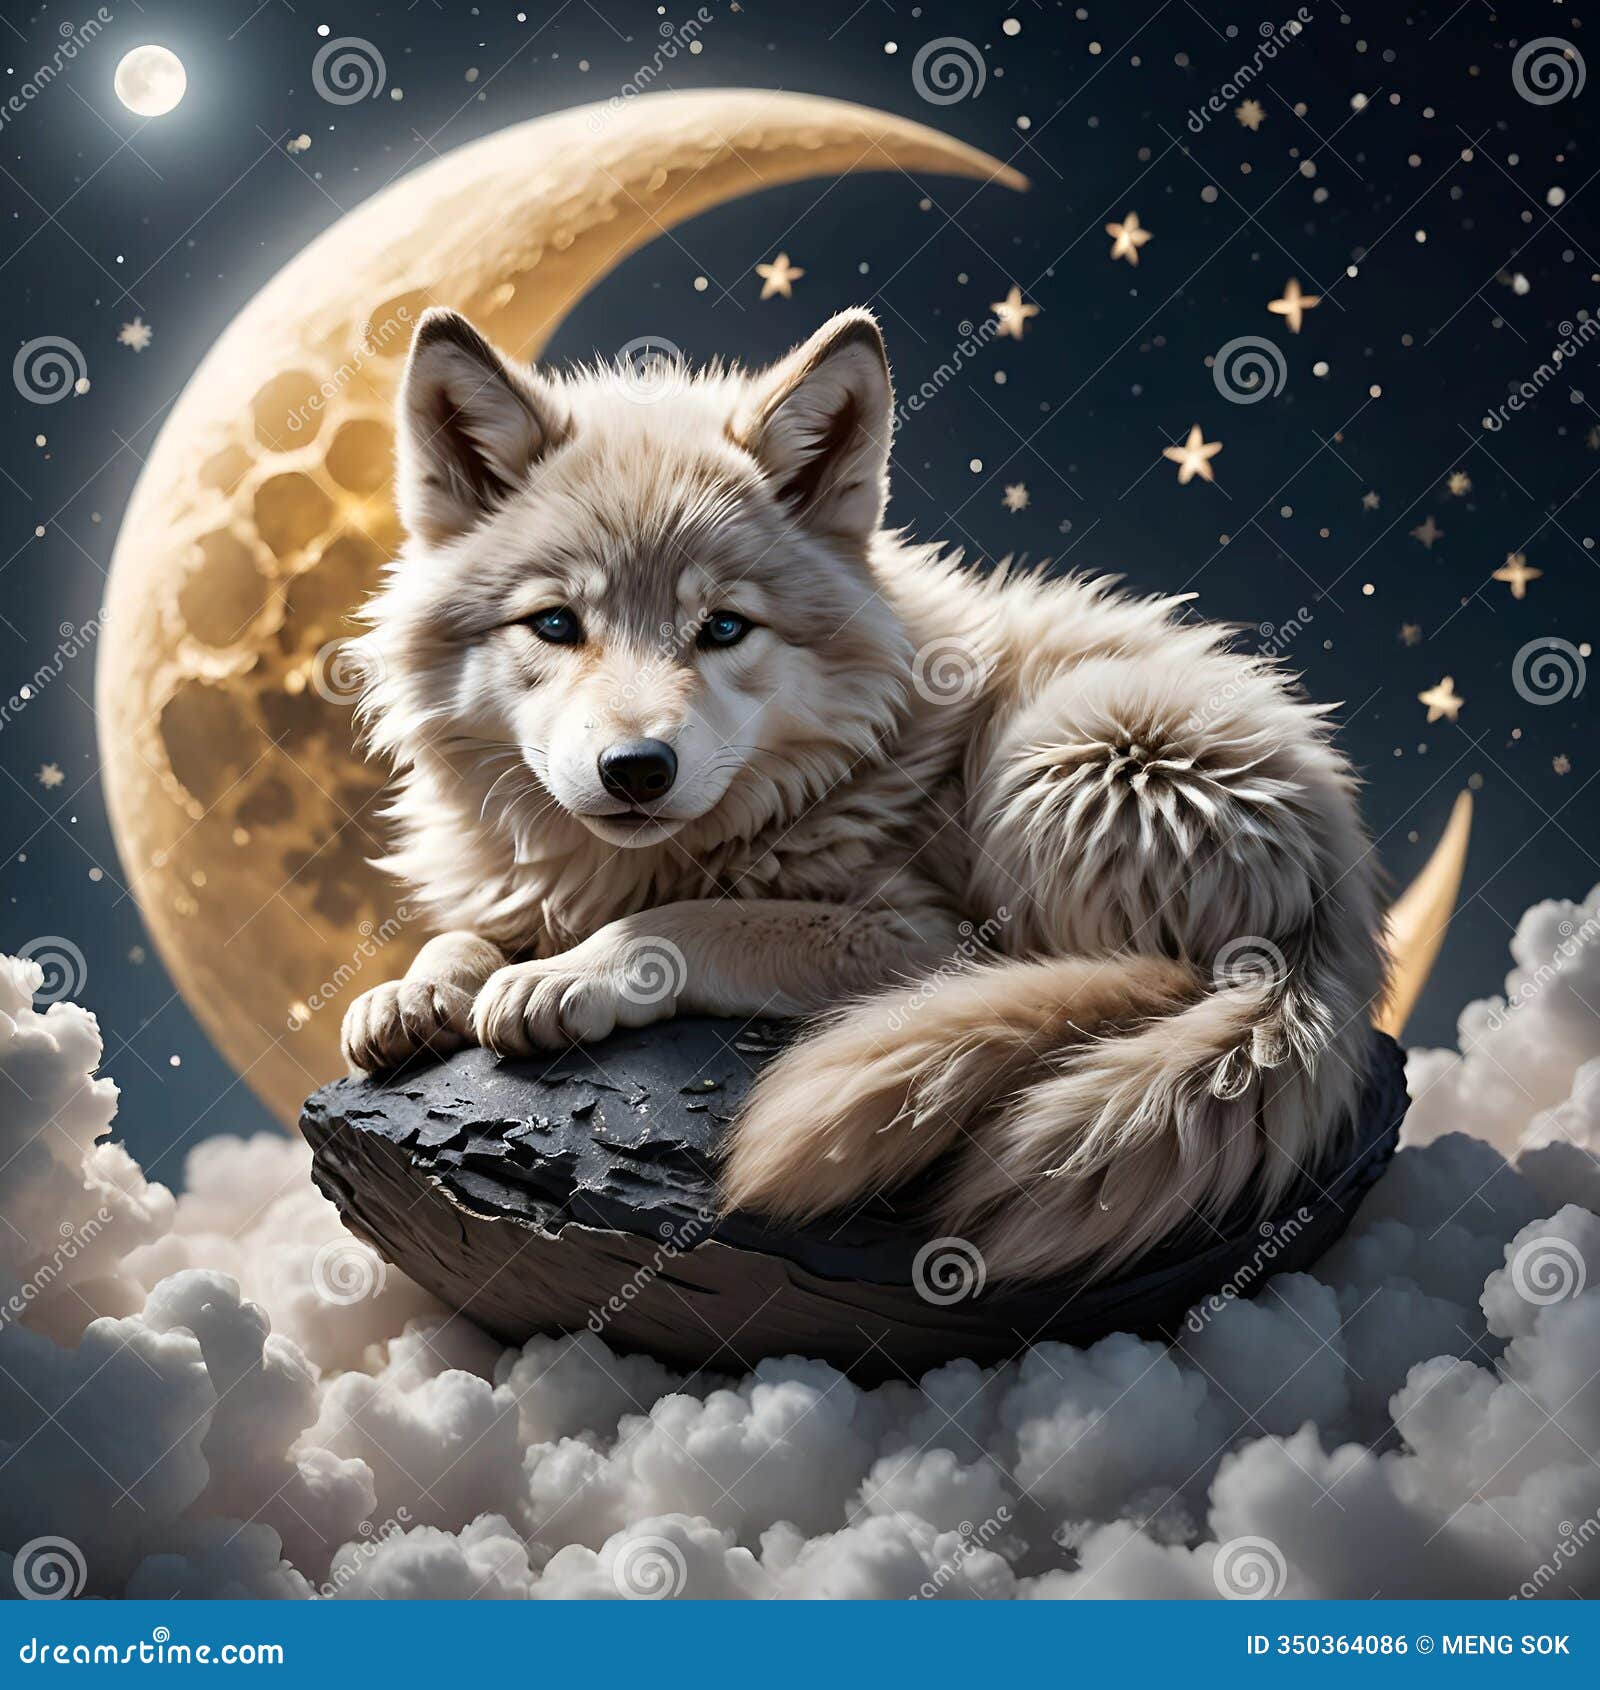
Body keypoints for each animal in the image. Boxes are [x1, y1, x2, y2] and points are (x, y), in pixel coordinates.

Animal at [342, 304, 1386, 1282]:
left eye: (725, 627)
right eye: (556, 624)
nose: (637, 769)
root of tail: (1333, 922)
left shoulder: (916, 931)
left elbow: (684, 924)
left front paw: (564, 975)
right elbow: (459, 935)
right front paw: (418, 988)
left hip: (1071, 750)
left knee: (1138, 975)